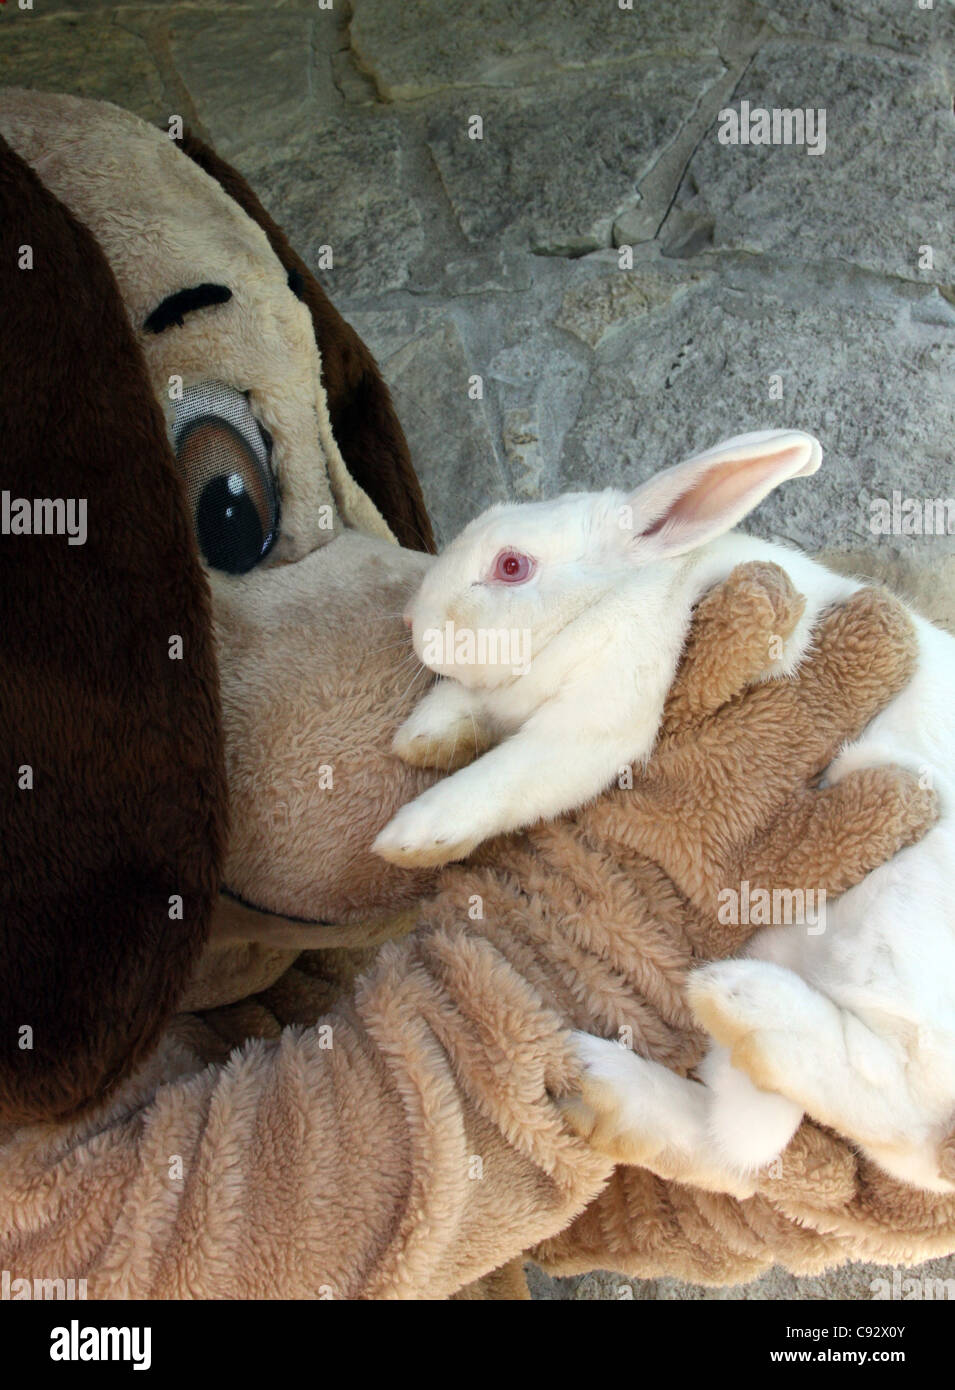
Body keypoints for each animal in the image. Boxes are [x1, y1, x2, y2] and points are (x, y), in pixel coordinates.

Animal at [373, 428, 955, 1196]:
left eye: (511, 565)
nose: (411, 621)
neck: (612, 597)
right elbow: (469, 708)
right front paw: (423, 734)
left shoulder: (599, 720)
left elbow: (504, 778)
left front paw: (412, 835)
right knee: (742, 1143)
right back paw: (611, 1087)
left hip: (895, 934)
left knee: (874, 1090)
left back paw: (745, 1004)